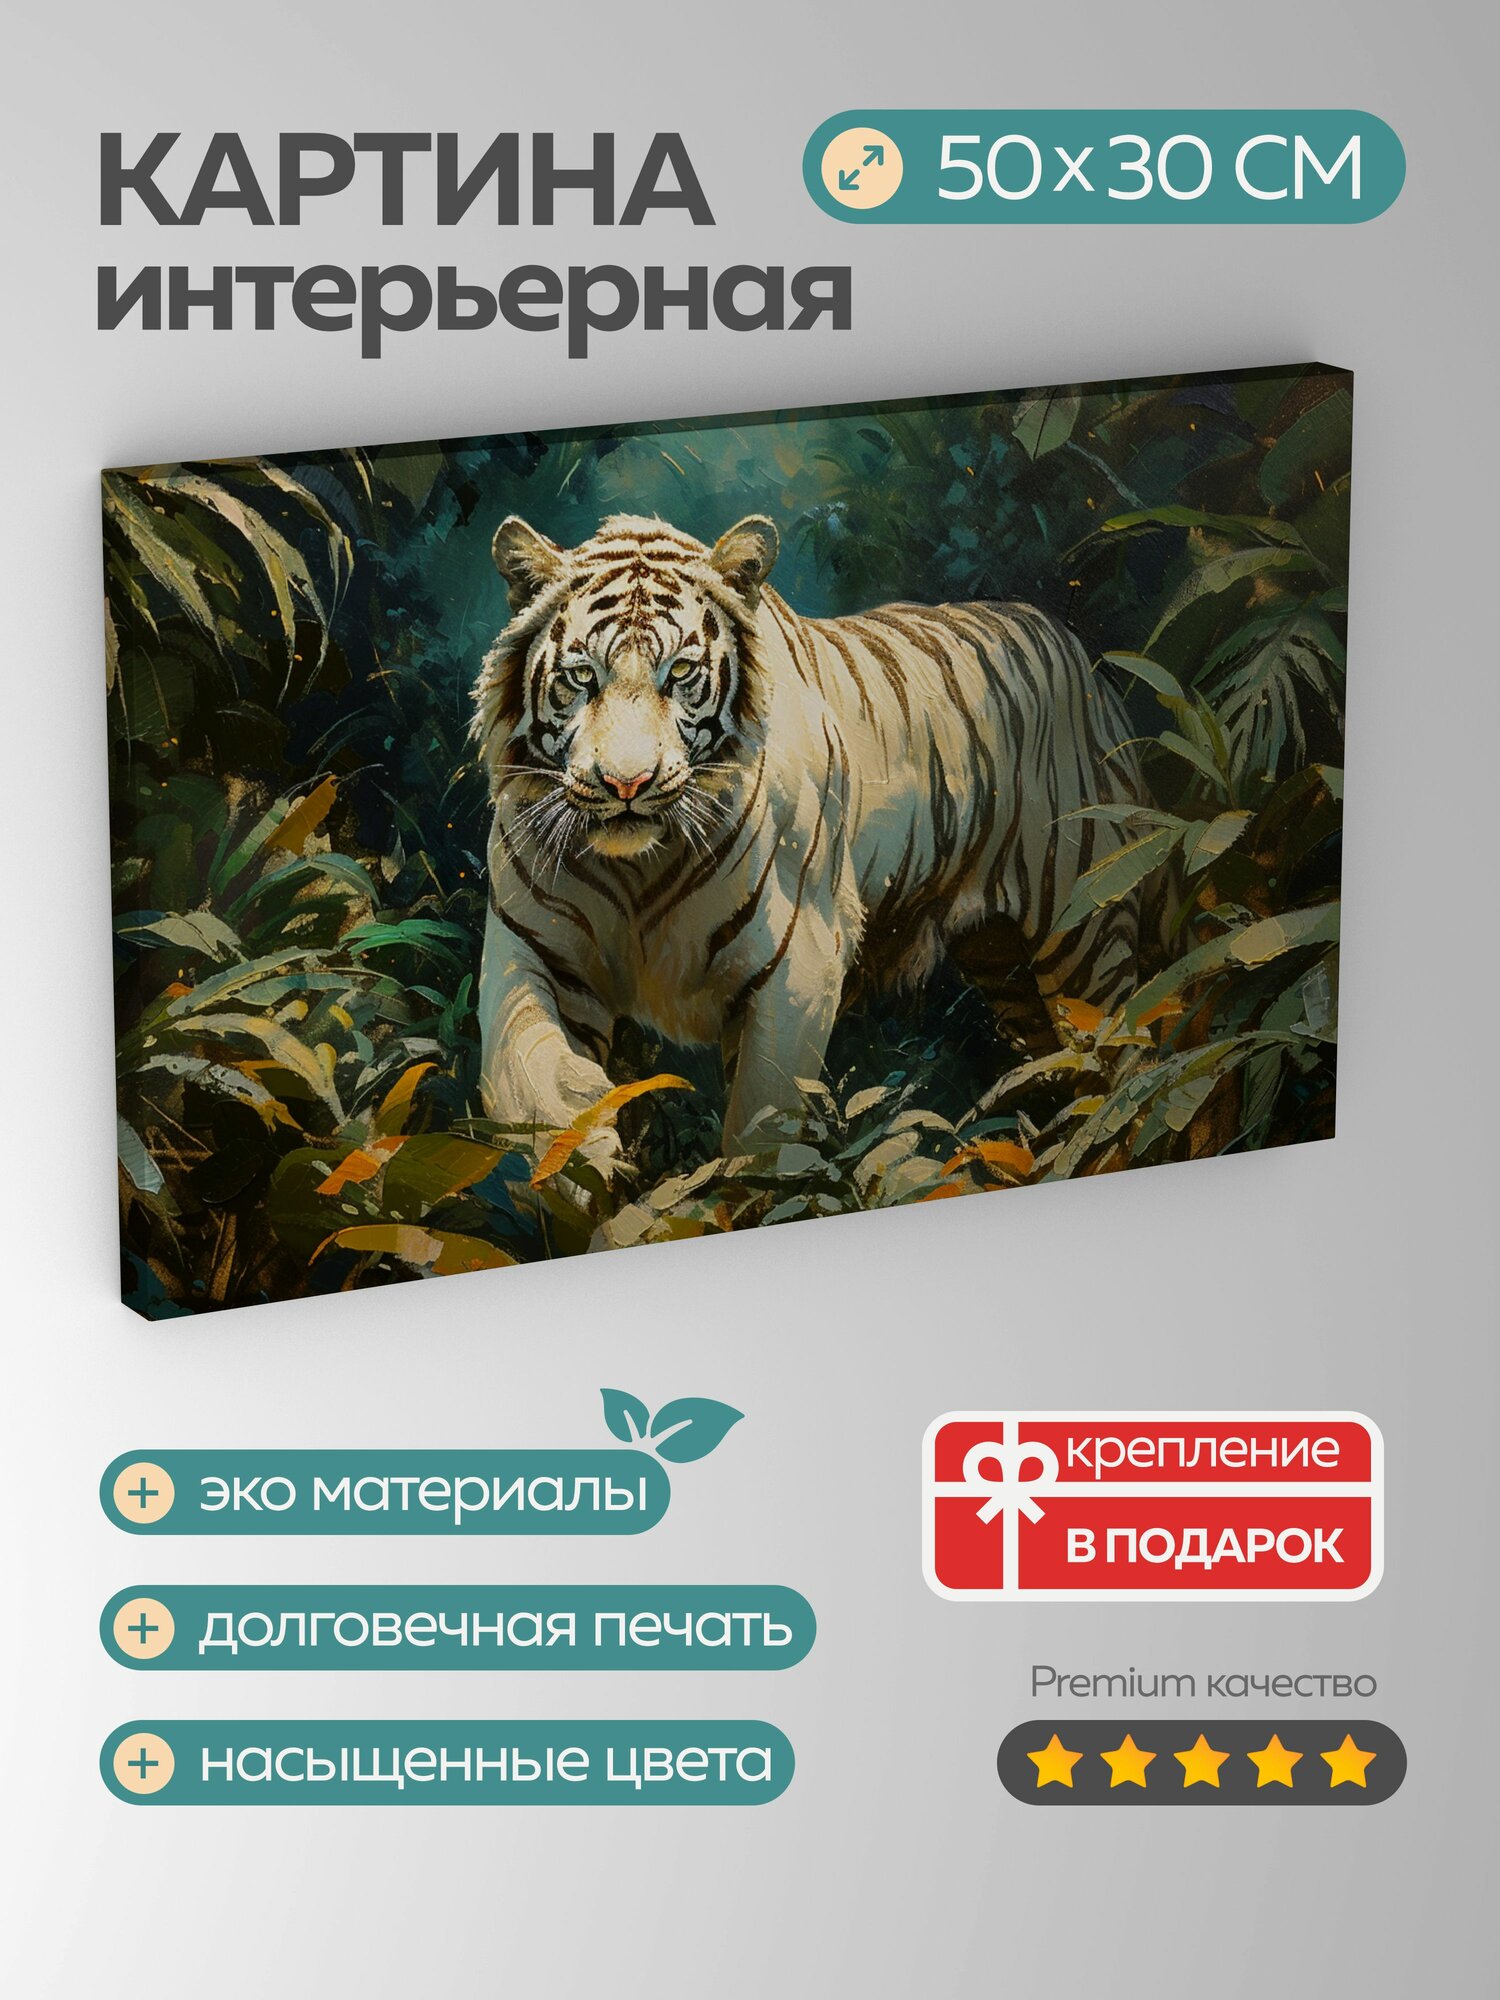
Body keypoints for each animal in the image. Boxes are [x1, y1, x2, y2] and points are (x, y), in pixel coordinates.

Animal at [471, 510, 1148, 1179]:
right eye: (581, 676)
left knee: (1127, 1053)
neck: (637, 869)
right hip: (1007, 968)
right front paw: (584, 1141)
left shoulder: (797, 966)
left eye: (681, 673)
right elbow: (520, 1068)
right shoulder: (527, 950)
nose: (626, 783)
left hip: (1085, 938)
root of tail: (1072, 646)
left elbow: (759, 1130)